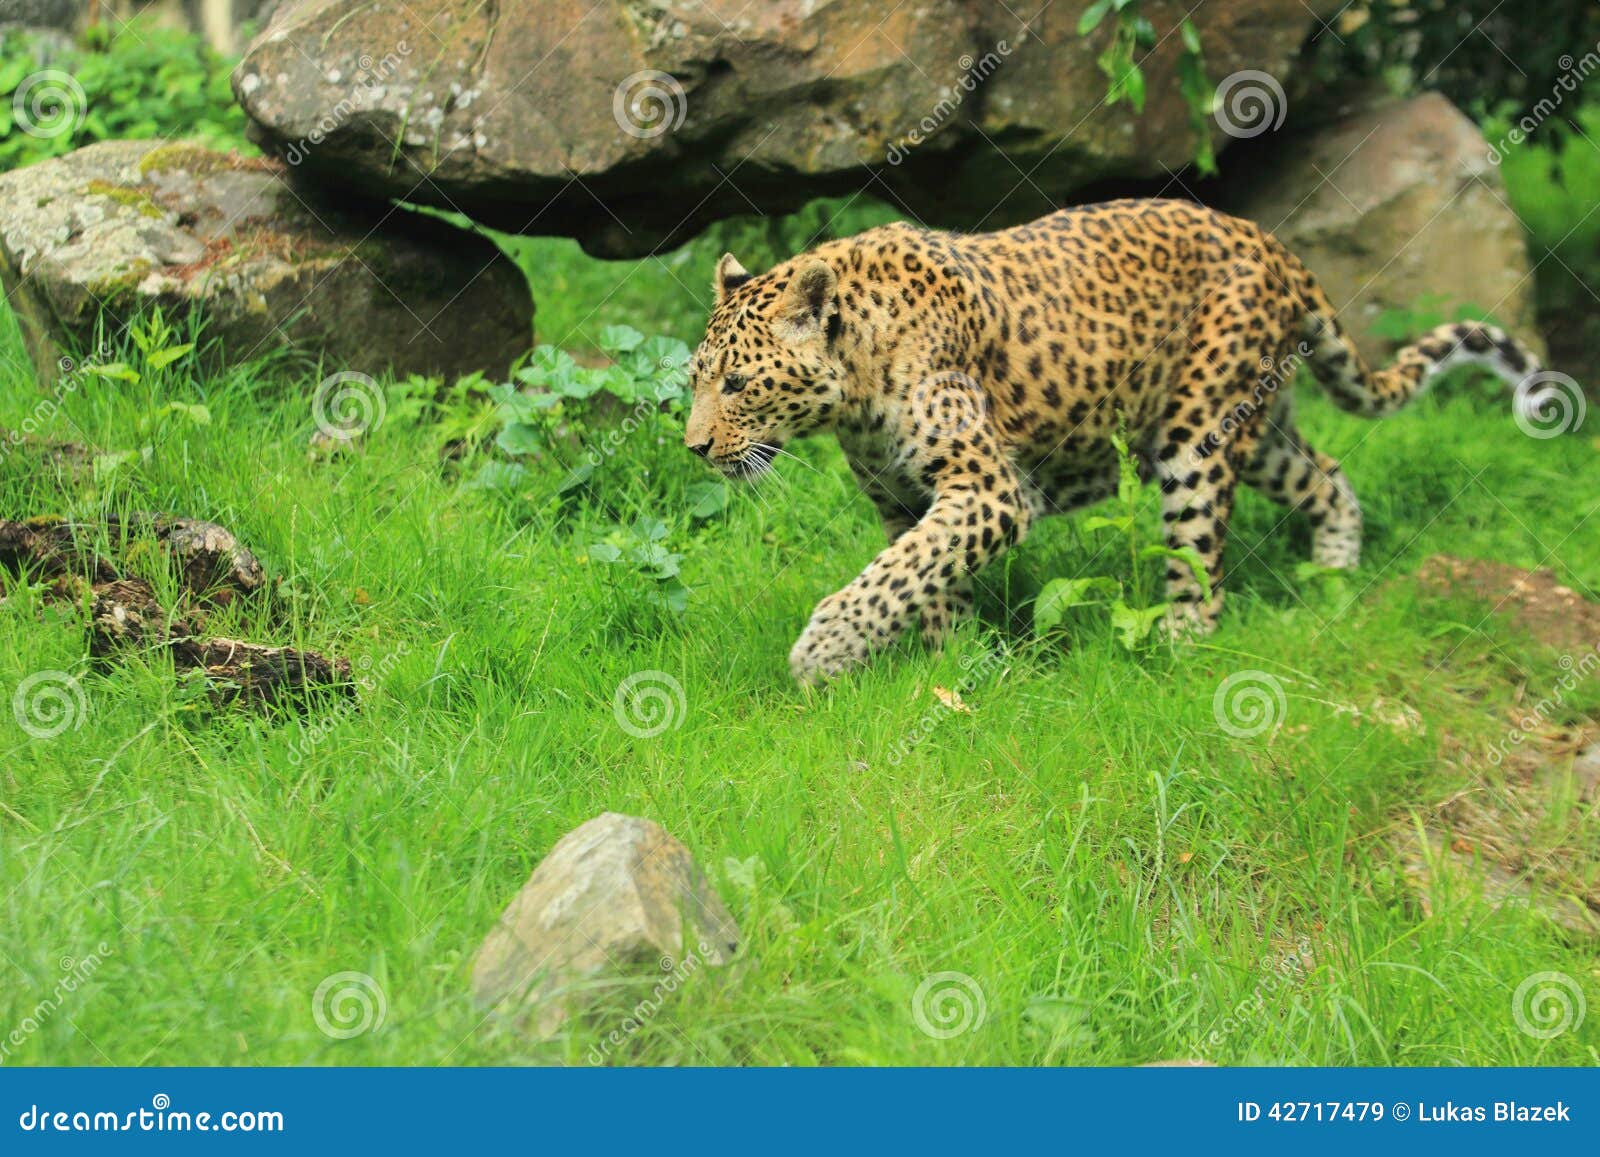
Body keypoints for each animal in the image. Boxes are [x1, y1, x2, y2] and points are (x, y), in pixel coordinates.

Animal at [682, 198, 1545, 685]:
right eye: (695, 377)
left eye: (737, 383)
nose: (693, 448)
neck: (854, 394)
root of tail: (1274, 244)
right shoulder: (904, 499)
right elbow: (921, 577)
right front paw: (951, 663)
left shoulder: (988, 490)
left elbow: (892, 576)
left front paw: (822, 651)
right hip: (1248, 424)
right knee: (1328, 475)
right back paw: (1332, 576)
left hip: (1199, 440)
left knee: (1203, 575)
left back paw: (1176, 655)